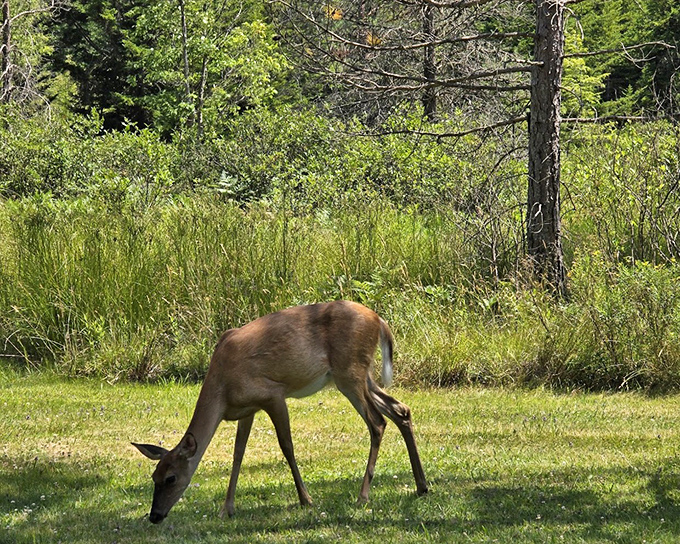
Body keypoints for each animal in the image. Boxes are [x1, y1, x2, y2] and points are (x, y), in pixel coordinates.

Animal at [132, 300, 428, 524]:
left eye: (171, 478)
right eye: (153, 477)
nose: (155, 516)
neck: (223, 389)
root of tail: (379, 320)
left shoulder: (272, 394)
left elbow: (286, 445)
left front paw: (306, 499)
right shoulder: (247, 408)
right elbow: (238, 454)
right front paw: (226, 508)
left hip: (349, 372)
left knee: (377, 422)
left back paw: (363, 495)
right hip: (361, 375)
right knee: (400, 409)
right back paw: (422, 486)